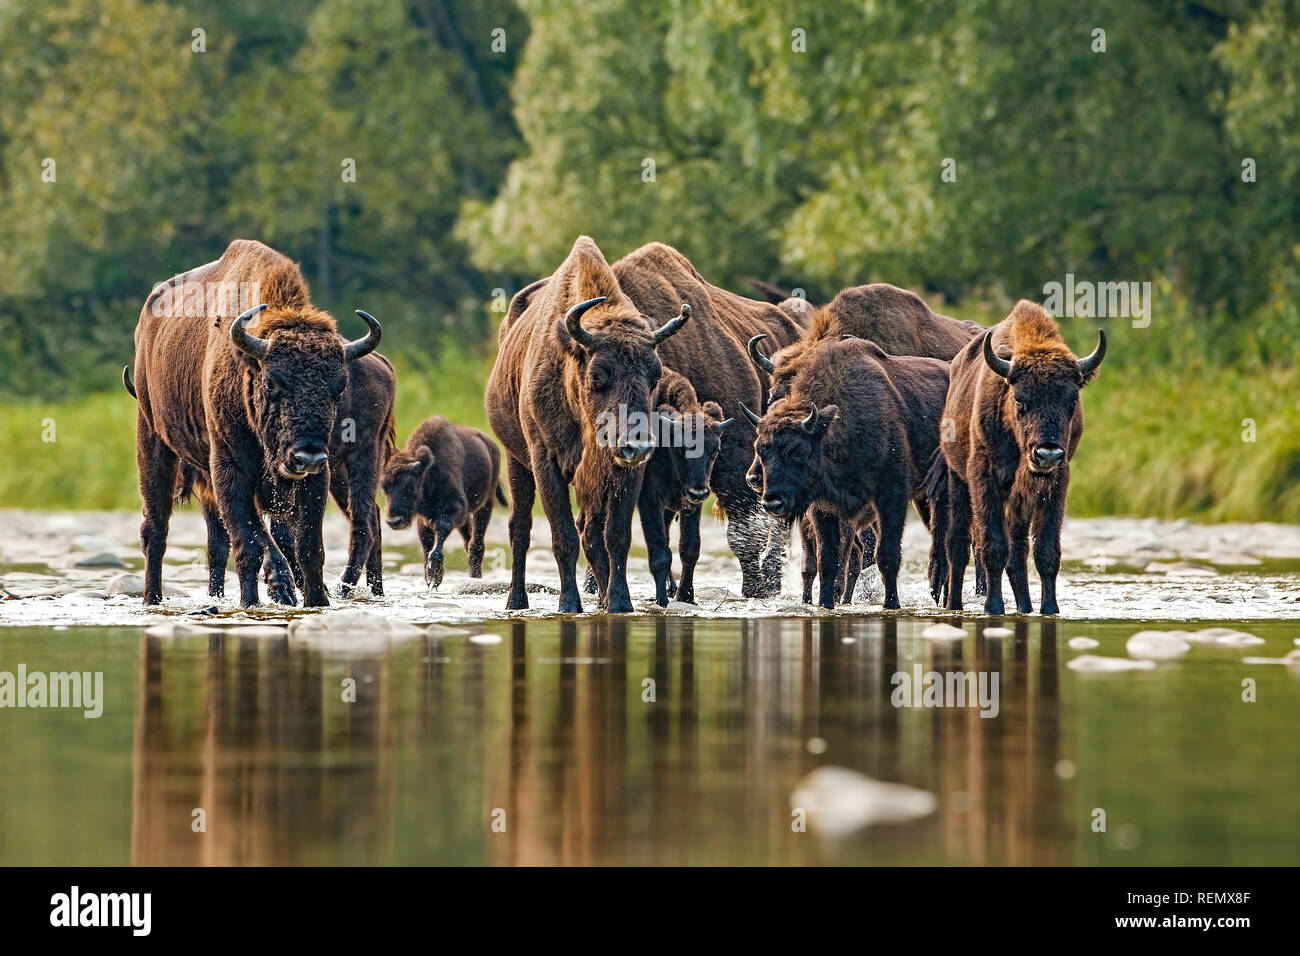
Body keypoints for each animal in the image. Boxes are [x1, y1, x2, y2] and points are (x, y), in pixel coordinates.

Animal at [128, 238, 379, 606]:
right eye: (272, 383)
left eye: (339, 386)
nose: (307, 456)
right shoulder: (229, 468)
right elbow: (248, 542)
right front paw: (260, 597)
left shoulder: (316, 479)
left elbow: (308, 548)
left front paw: (315, 600)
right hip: (152, 438)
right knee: (155, 528)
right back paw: (152, 598)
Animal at [379, 418, 504, 590]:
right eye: (383, 487)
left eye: (411, 486)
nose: (394, 521)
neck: (428, 472)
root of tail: (491, 446)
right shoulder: (423, 518)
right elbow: (426, 542)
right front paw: (429, 575)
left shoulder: (455, 509)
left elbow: (442, 528)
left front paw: (434, 575)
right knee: (468, 542)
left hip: (486, 504)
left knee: (476, 544)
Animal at [488, 238, 691, 613]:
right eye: (598, 375)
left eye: (654, 373)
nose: (637, 445)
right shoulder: (545, 462)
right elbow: (563, 536)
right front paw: (569, 604)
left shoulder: (625, 473)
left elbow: (615, 537)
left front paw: (620, 602)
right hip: (515, 462)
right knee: (520, 527)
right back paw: (516, 600)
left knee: (591, 534)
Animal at [935, 303, 1107, 616]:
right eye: (1020, 400)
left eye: (1071, 401)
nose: (1047, 454)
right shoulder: (984, 477)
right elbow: (993, 546)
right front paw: (993, 607)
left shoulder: (1056, 482)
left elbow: (1045, 550)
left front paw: (1050, 608)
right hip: (958, 479)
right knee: (958, 544)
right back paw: (955, 604)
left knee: (1017, 553)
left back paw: (1025, 606)